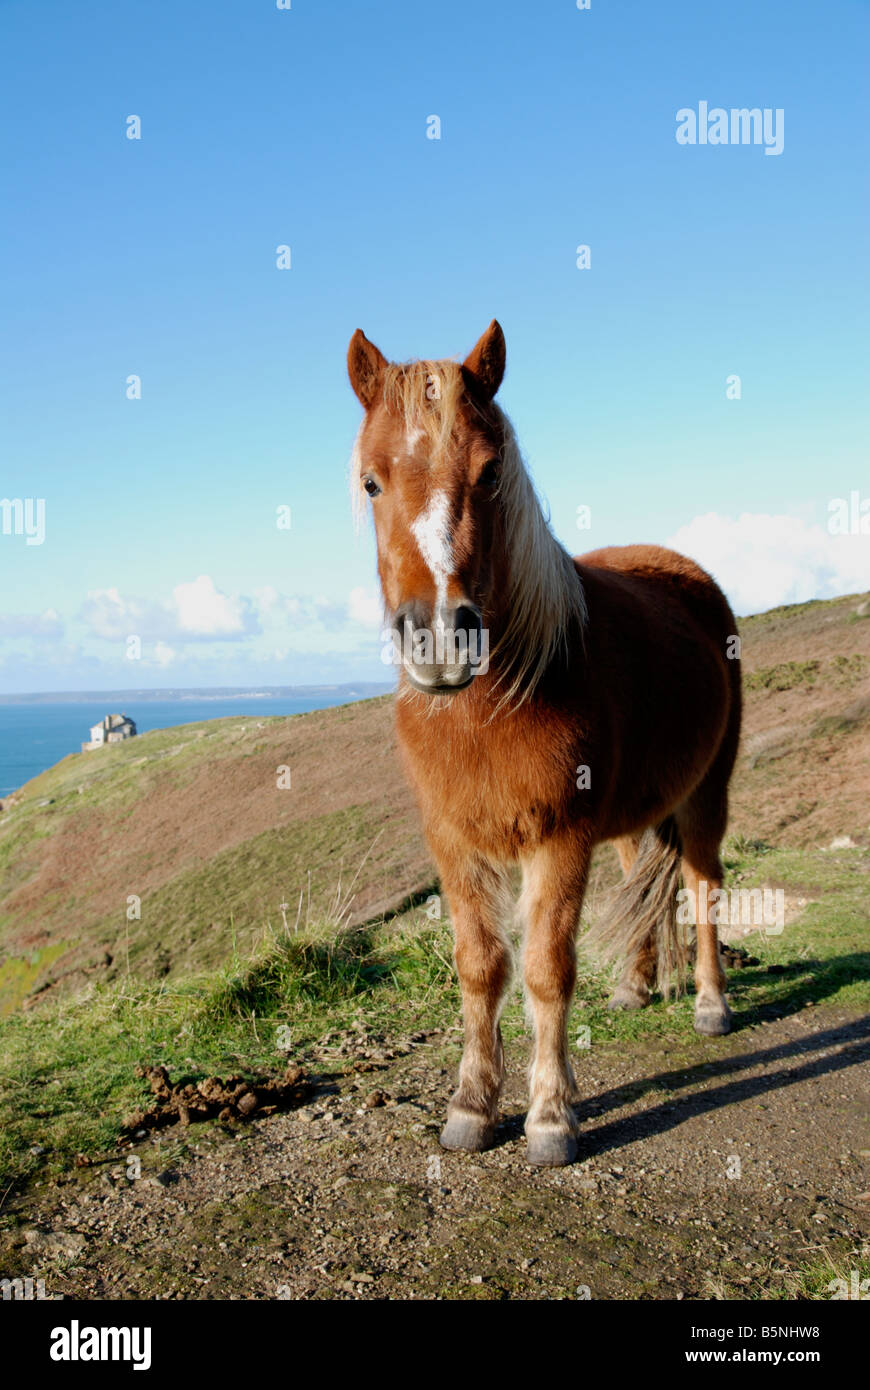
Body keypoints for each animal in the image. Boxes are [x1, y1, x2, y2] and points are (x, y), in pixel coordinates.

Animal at [347, 319, 742, 1167]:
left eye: (491, 472)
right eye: (370, 483)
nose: (440, 638)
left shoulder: (557, 842)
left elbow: (546, 971)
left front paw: (551, 1117)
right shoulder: (454, 845)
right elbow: (479, 968)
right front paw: (470, 1106)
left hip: (707, 795)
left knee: (701, 885)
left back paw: (710, 1004)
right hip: (628, 814)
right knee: (636, 872)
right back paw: (633, 987)